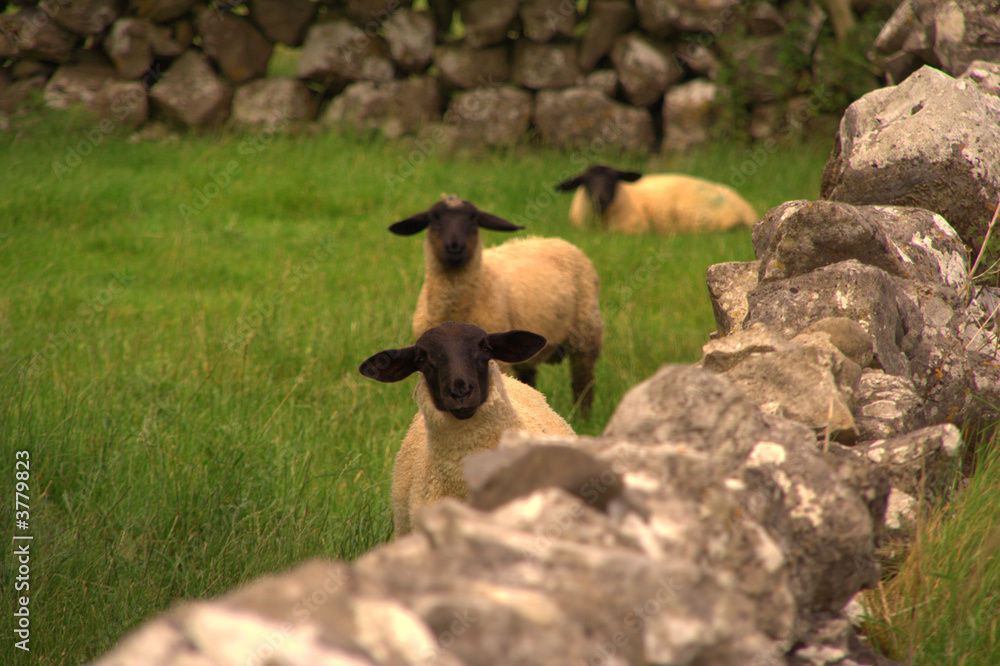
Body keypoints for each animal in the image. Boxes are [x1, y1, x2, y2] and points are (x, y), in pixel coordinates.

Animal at [389, 194, 603, 416]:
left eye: (473, 220)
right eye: (434, 220)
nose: (455, 246)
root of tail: (557, 240)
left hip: (586, 333)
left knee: (583, 383)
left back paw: (582, 417)